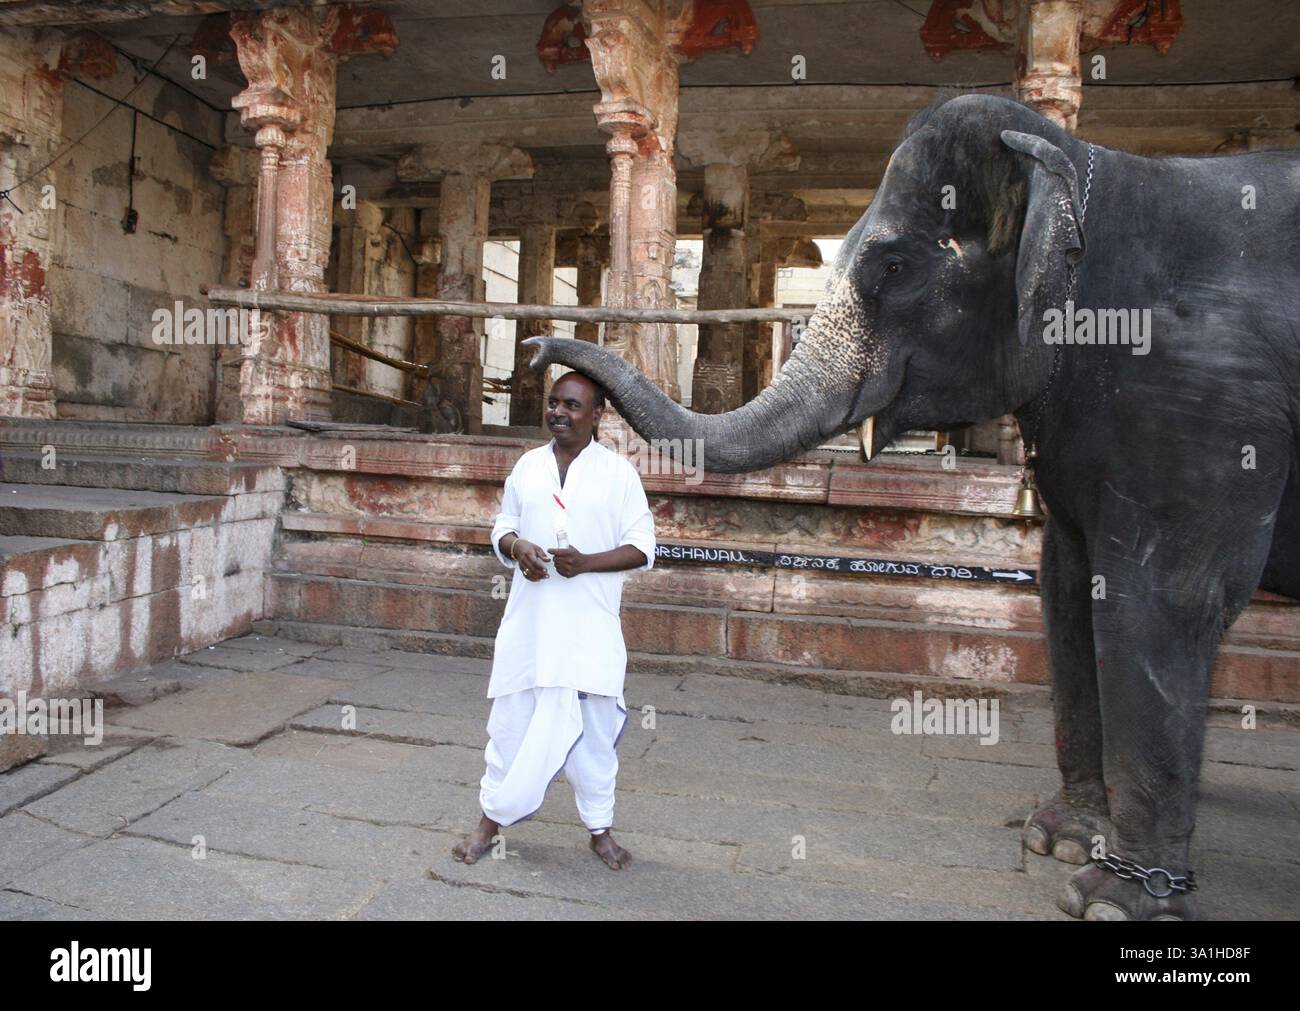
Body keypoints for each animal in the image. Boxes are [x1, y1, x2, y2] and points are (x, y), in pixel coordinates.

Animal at [521, 94, 1300, 920]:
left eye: (894, 268)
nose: (541, 351)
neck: (1092, 161)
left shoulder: (1207, 405)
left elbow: (1160, 602)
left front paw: (1113, 901)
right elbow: (1067, 585)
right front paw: (1057, 840)